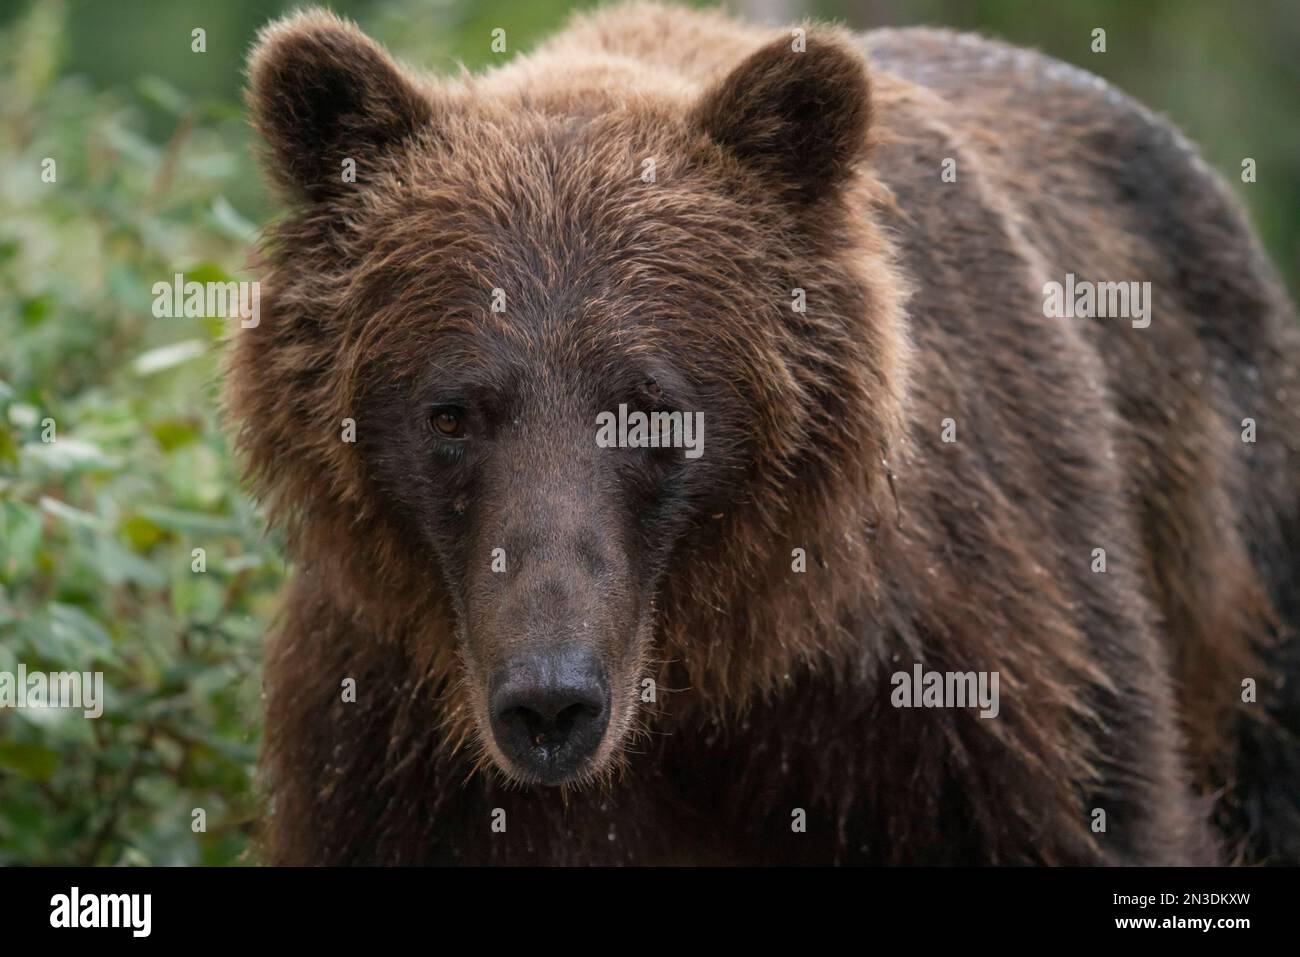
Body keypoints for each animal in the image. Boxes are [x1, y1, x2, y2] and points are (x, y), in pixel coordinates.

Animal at [226, 2, 1300, 865]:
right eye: (451, 411)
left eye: (650, 405)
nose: (550, 698)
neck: (709, 675)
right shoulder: (393, 740)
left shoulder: (974, 684)